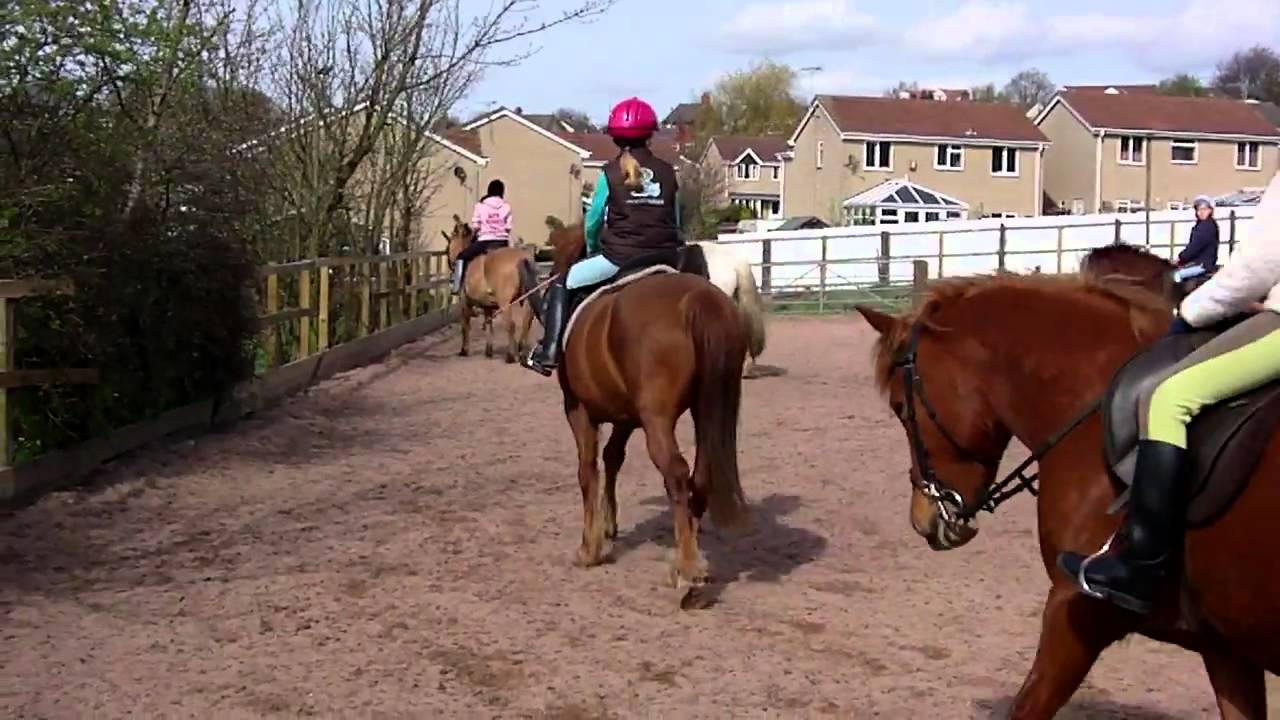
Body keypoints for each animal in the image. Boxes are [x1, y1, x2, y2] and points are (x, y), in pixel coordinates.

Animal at [443, 215, 542, 362]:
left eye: (452, 237)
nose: (450, 262)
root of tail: (522, 258)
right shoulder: (487, 305)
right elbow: (489, 324)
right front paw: (488, 351)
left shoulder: (464, 302)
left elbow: (465, 325)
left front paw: (464, 350)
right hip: (528, 297)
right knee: (527, 320)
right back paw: (520, 348)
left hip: (505, 302)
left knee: (511, 325)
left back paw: (511, 355)